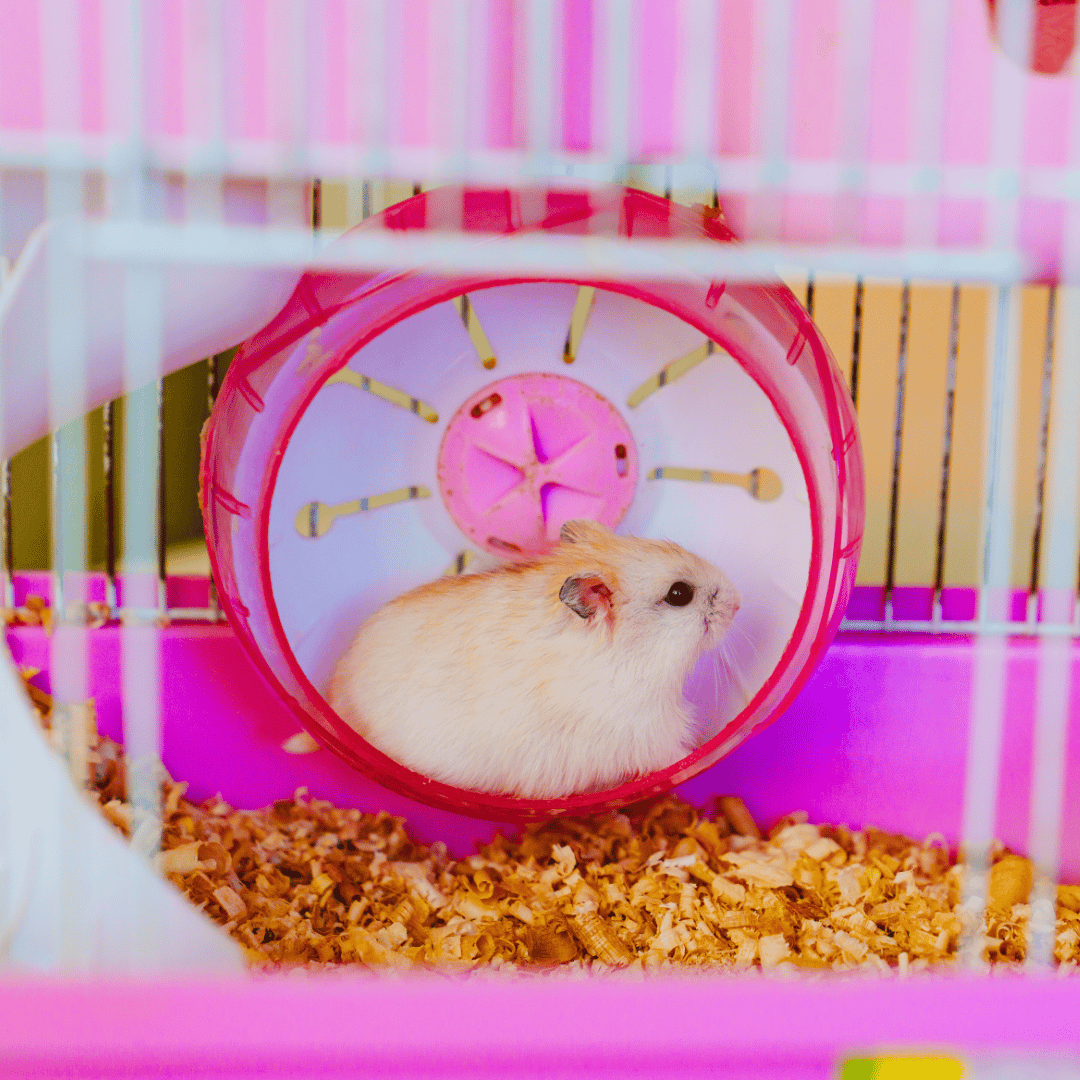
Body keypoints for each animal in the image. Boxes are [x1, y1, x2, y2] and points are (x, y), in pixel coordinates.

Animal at [326, 519, 740, 799]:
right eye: (679, 593)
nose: (738, 603)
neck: (633, 654)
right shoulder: (647, 731)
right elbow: (674, 757)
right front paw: (698, 753)